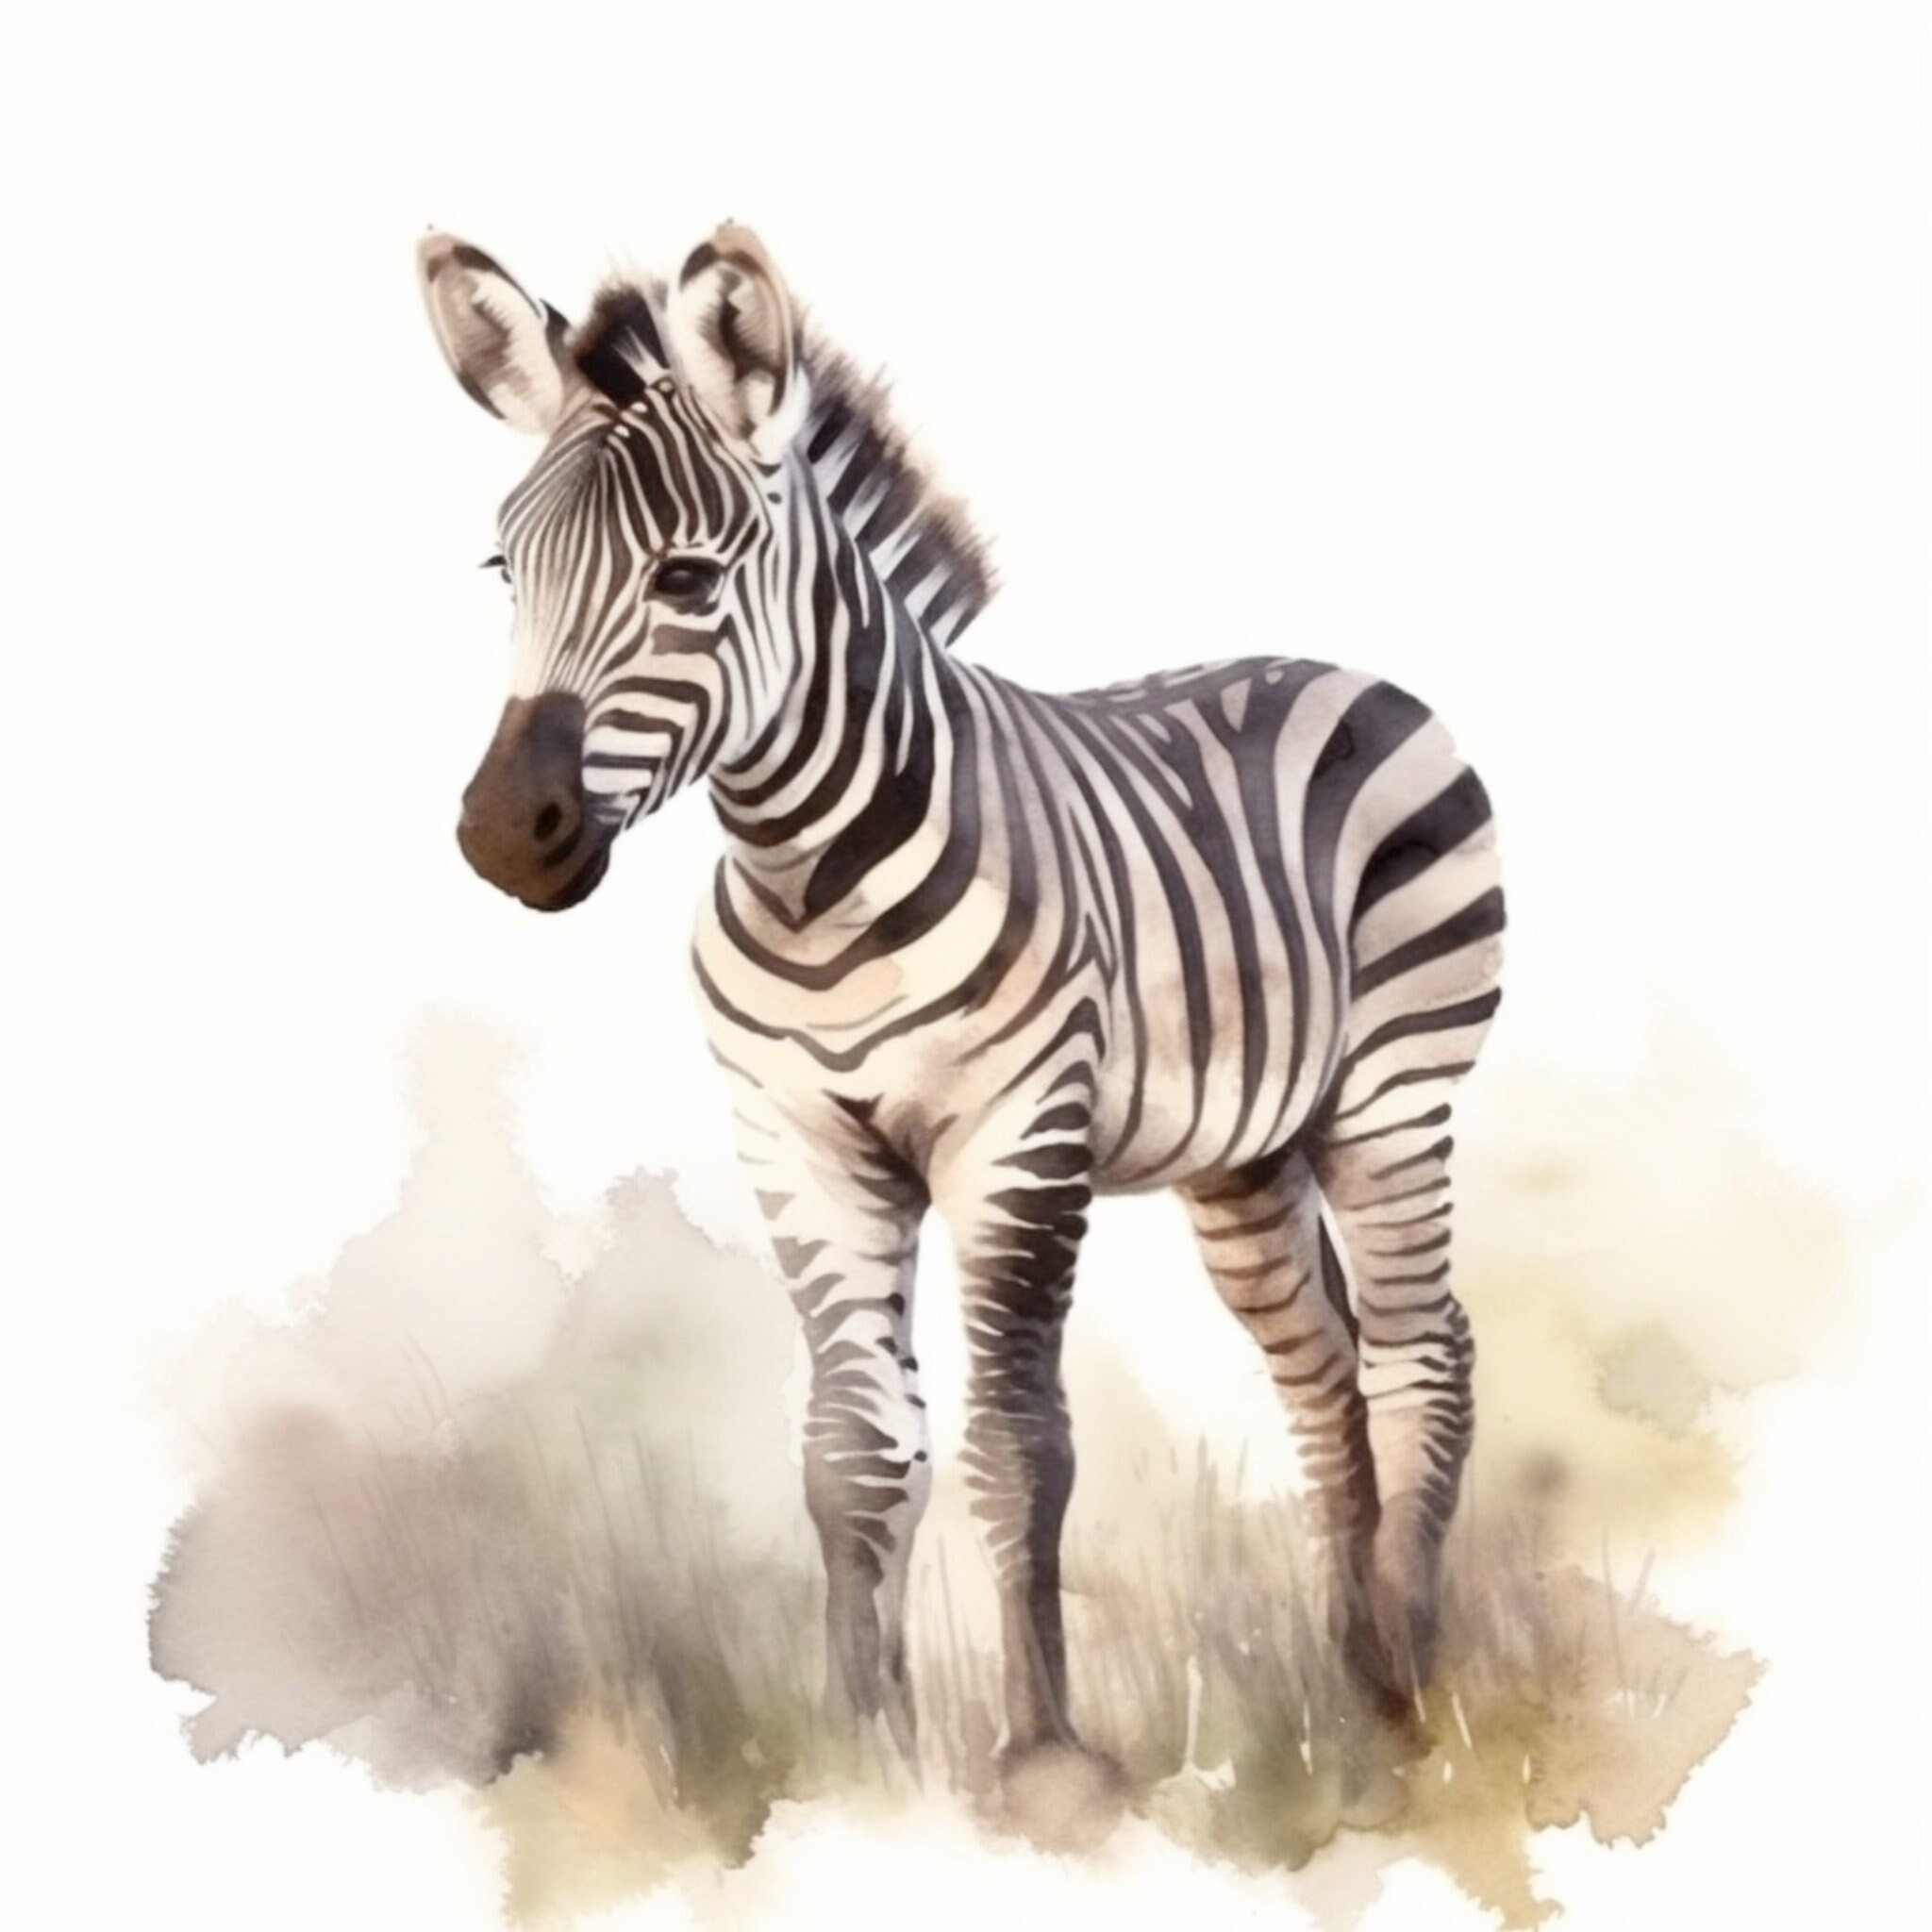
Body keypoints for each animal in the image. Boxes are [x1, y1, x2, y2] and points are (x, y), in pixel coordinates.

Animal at [417, 225, 1505, 1779]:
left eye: (687, 578)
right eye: (507, 568)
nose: (506, 834)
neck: (813, 886)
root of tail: (1334, 665)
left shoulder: (1016, 1138)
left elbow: (1015, 1441)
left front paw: (1040, 1754)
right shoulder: (797, 1142)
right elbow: (853, 1449)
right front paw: (861, 1751)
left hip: (1396, 1091)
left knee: (1425, 1351)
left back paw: (1417, 1686)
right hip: (1246, 1154)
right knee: (1322, 1372)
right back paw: (1350, 1684)